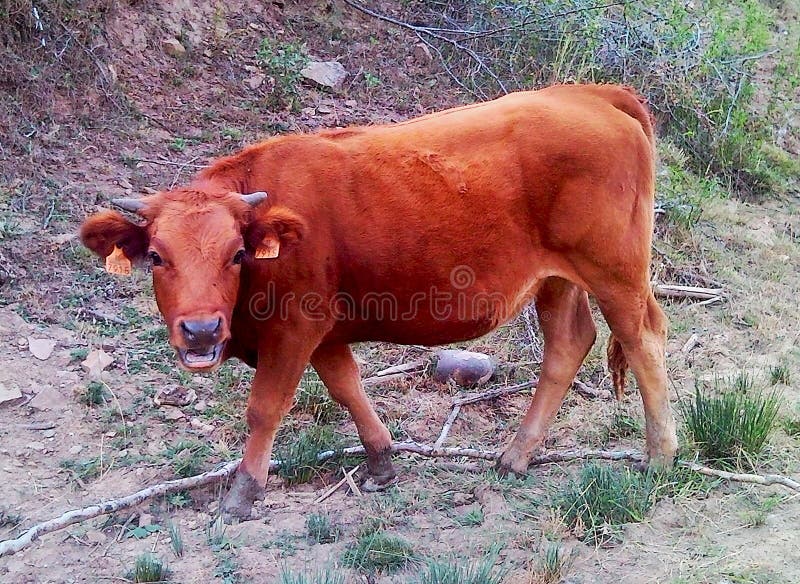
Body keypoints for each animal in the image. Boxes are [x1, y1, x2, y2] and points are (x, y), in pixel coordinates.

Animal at [80, 83, 678, 520]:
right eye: (157, 256)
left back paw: (660, 455)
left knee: (643, 338)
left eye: (236, 254)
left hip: (615, 273)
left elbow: (265, 408)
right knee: (568, 345)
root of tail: (590, 93)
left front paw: (244, 493)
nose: (202, 331)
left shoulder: (294, 328)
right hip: (557, 280)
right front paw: (382, 461)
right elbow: (348, 388)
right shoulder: (324, 331)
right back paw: (515, 456)